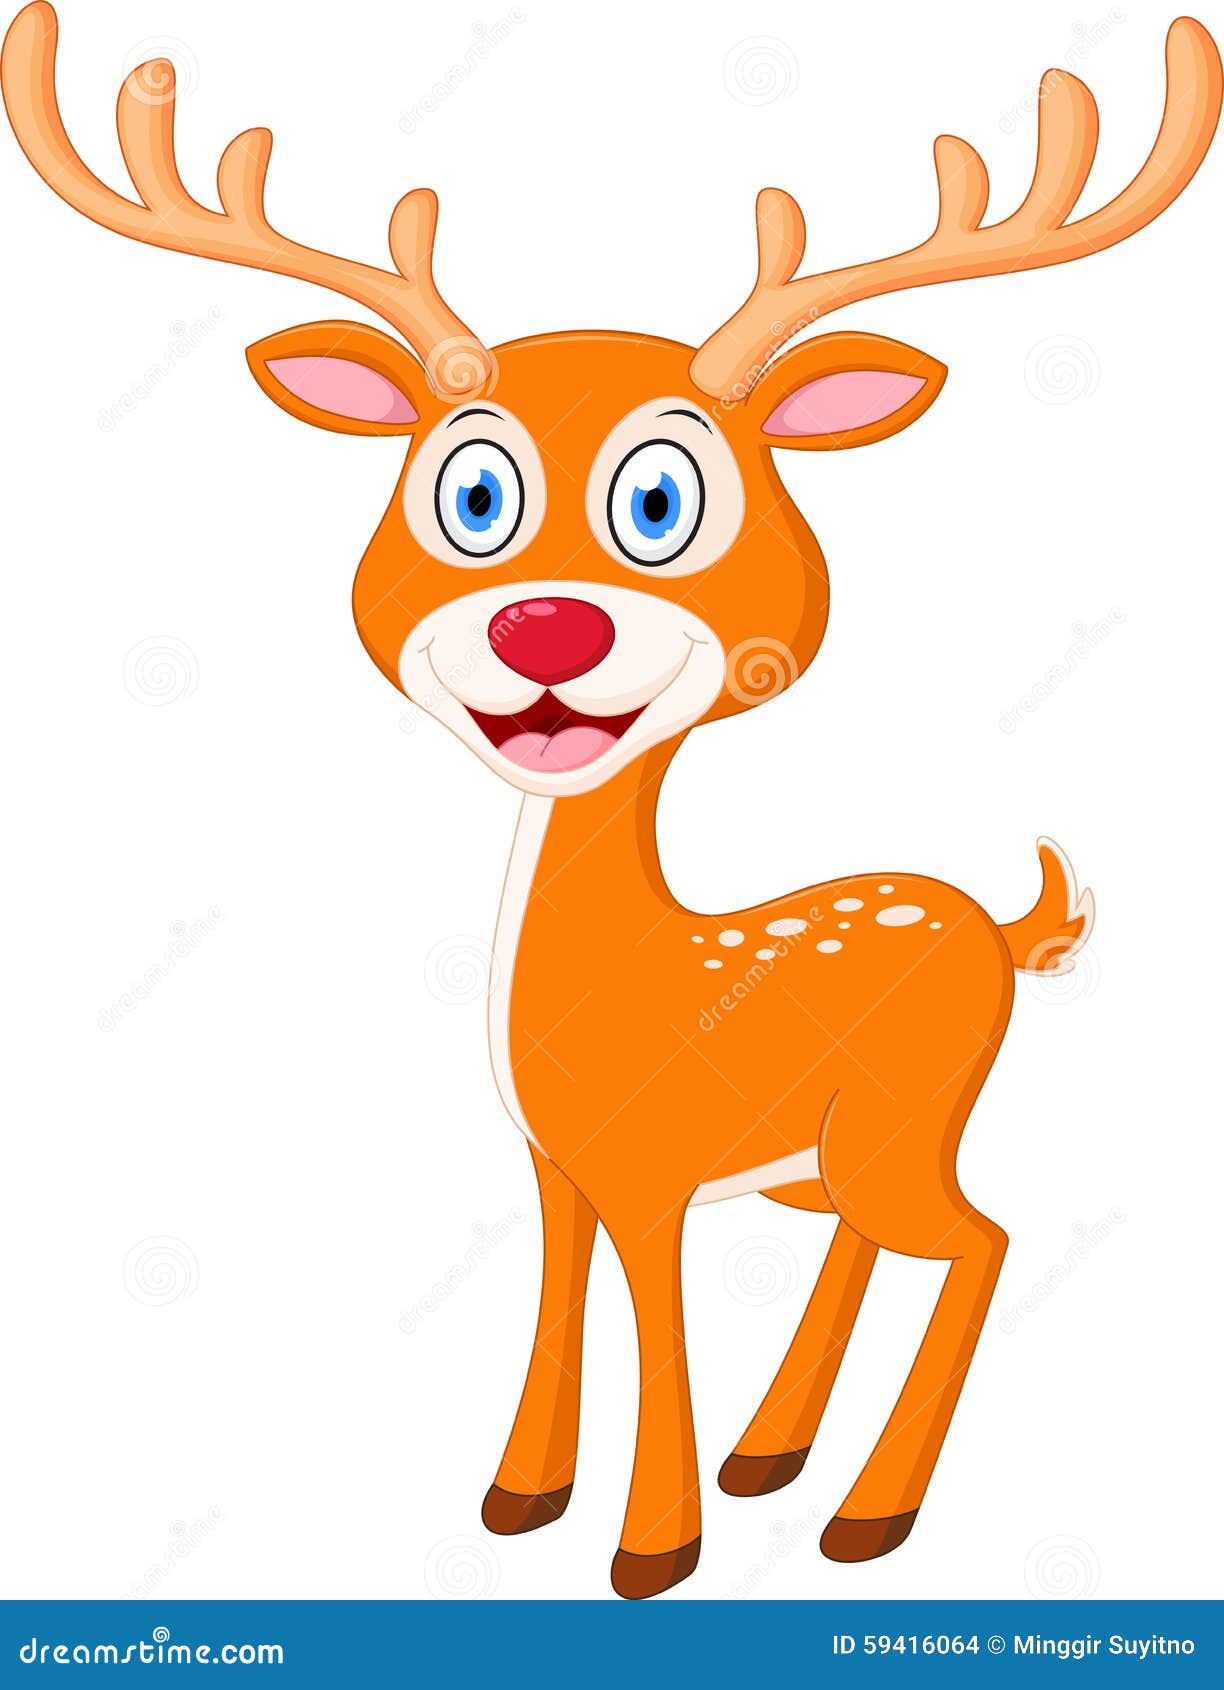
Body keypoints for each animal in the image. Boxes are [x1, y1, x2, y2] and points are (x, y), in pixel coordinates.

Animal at [4, 1, 1219, 1599]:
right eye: (473, 496)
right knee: (879, 1240)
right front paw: (518, 1497)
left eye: (661, 504)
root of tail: (999, 927)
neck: (620, 980)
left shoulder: (652, 1174)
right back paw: (776, 1455)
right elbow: (559, 1297)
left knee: (984, 1236)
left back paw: (865, 1514)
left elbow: (657, 1318)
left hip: (903, 1125)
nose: (548, 631)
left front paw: (654, 1547)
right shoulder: (558, 1173)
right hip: (826, 1157)